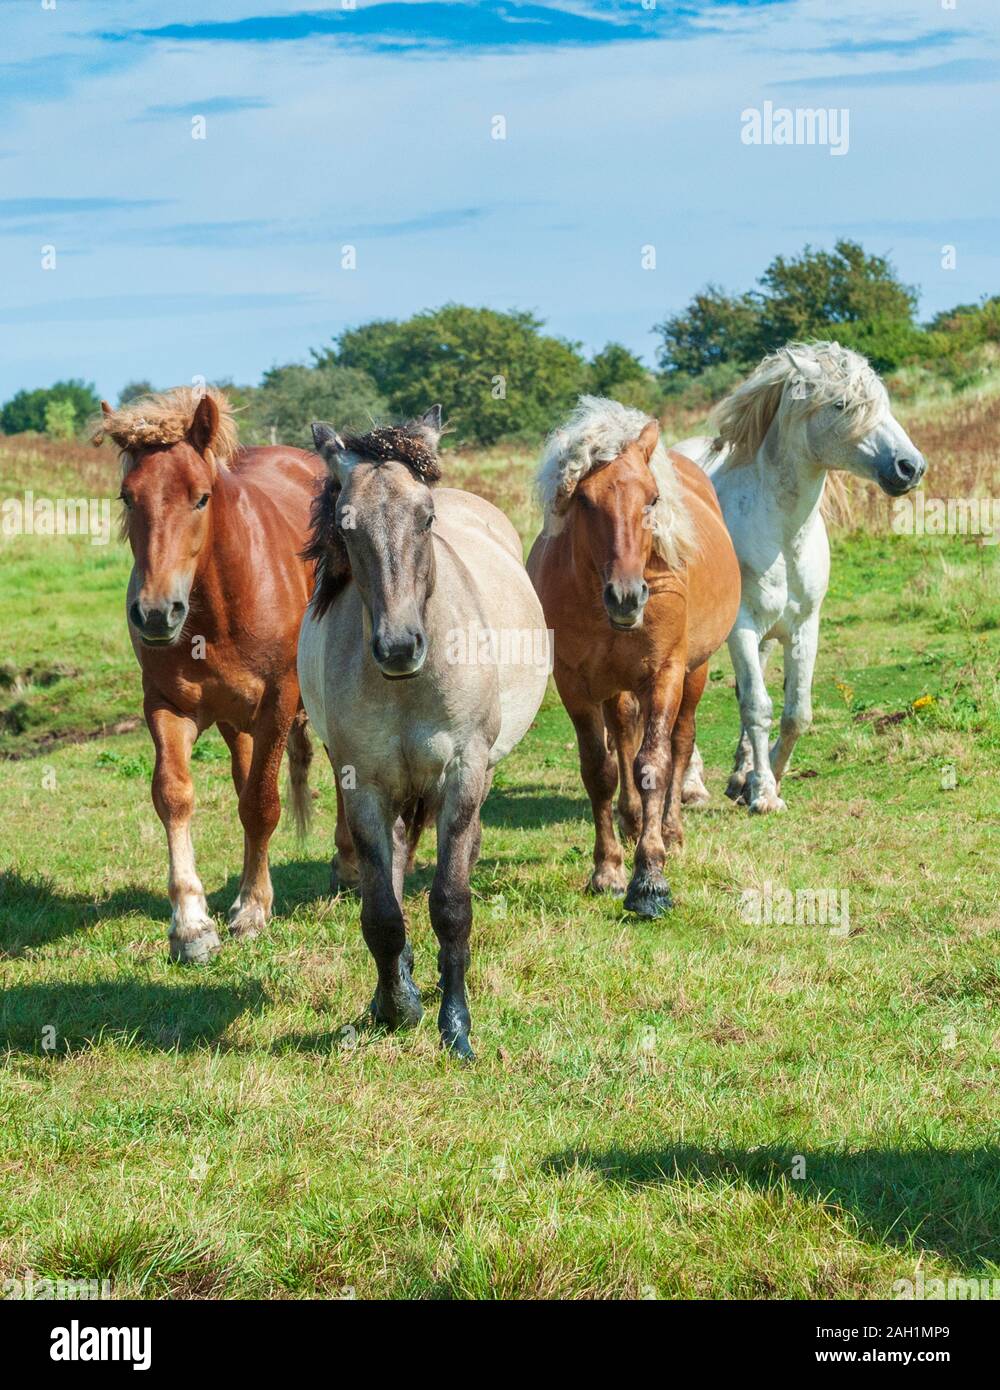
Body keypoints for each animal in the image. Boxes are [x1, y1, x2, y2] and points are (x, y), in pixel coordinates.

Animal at [94, 387, 325, 963]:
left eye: (200, 498)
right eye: (127, 498)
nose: (156, 613)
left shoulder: (280, 703)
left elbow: (262, 805)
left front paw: (253, 911)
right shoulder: (166, 705)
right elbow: (174, 796)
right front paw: (192, 924)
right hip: (233, 721)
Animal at [298, 408, 549, 1060]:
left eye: (426, 518)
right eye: (345, 527)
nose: (398, 647)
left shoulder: (463, 771)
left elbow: (451, 904)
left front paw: (455, 1026)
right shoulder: (362, 783)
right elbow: (382, 912)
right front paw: (395, 1004)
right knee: (397, 864)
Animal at [527, 397, 741, 918]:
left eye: (652, 498)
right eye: (584, 500)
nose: (626, 597)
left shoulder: (664, 674)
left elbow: (654, 763)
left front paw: (650, 878)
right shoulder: (575, 683)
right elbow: (600, 770)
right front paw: (607, 869)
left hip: (694, 673)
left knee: (680, 742)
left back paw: (670, 828)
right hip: (614, 684)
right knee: (623, 733)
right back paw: (631, 821)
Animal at [671, 342, 927, 814]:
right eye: (841, 404)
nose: (909, 467)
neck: (782, 533)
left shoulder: (805, 626)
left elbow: (795, 713)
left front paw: (759, 779)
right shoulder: (742, 627)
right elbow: (758, 706)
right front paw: (765, 796)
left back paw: (736, 775)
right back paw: (692, 787)